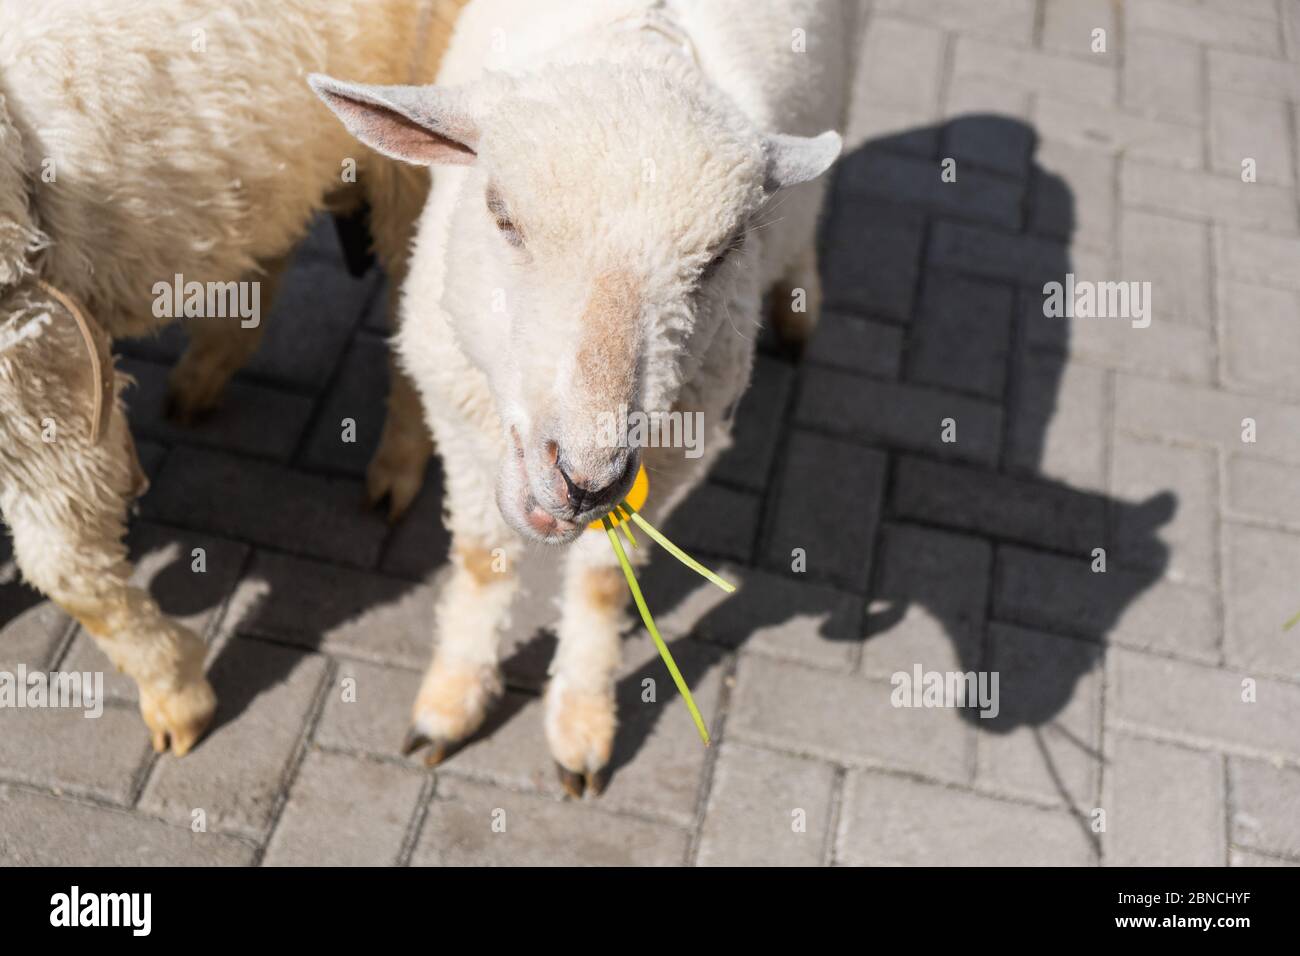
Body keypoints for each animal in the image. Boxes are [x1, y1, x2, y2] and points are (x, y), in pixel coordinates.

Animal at [0, 0, 470, 755]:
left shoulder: (37, 374)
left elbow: (69, 571)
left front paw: (177, 696)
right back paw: (207, 369)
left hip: (415, 149)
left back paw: (396, 466)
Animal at [311, 0, 860, 795]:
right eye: (500, 213)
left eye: (721, 255)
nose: (584, 479)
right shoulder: (459, 415)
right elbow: (479, 559)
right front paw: (452, 700)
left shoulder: (673, 460)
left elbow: (604, 583)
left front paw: (582, 724)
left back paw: (800, 301)